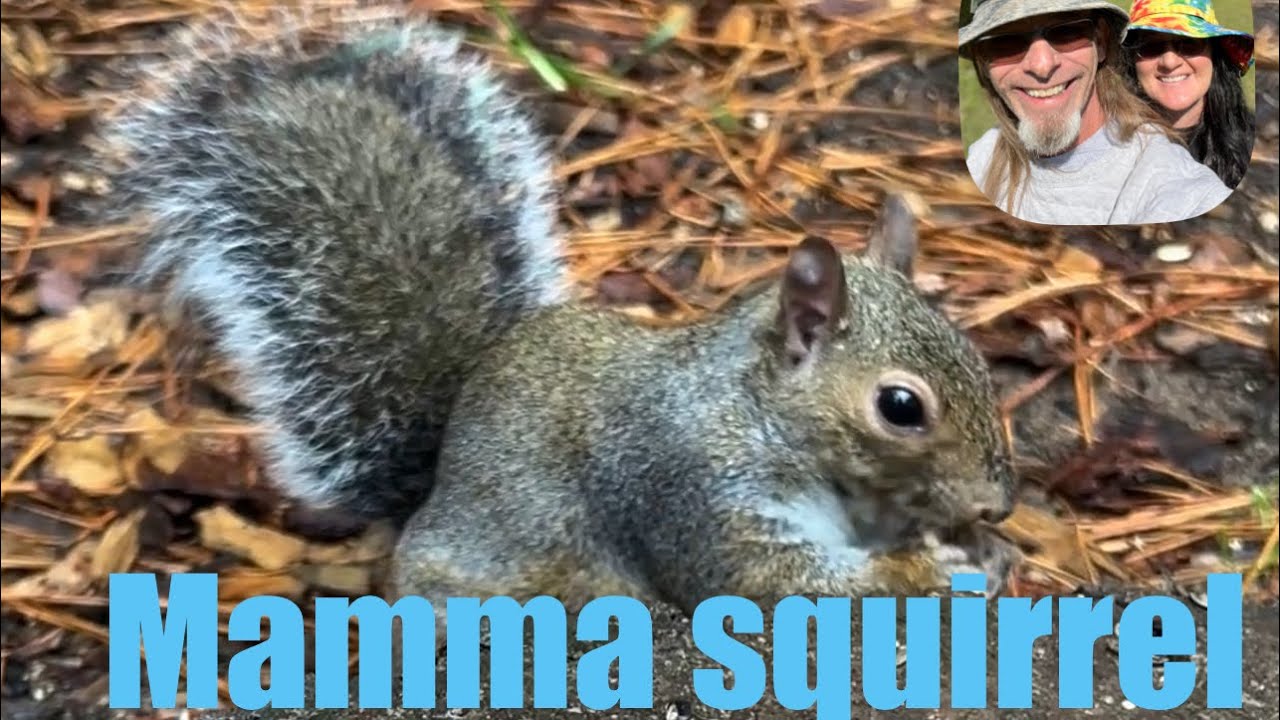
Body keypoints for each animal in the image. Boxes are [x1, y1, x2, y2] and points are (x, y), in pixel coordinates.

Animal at [77, 14, 1018, 621]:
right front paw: (924, 569)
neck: (758, 416)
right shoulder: (698, 494)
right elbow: (774, 585)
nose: (1000, 506)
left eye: (980, 360)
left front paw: (968, 553)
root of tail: (432, 496)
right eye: (901, 407)